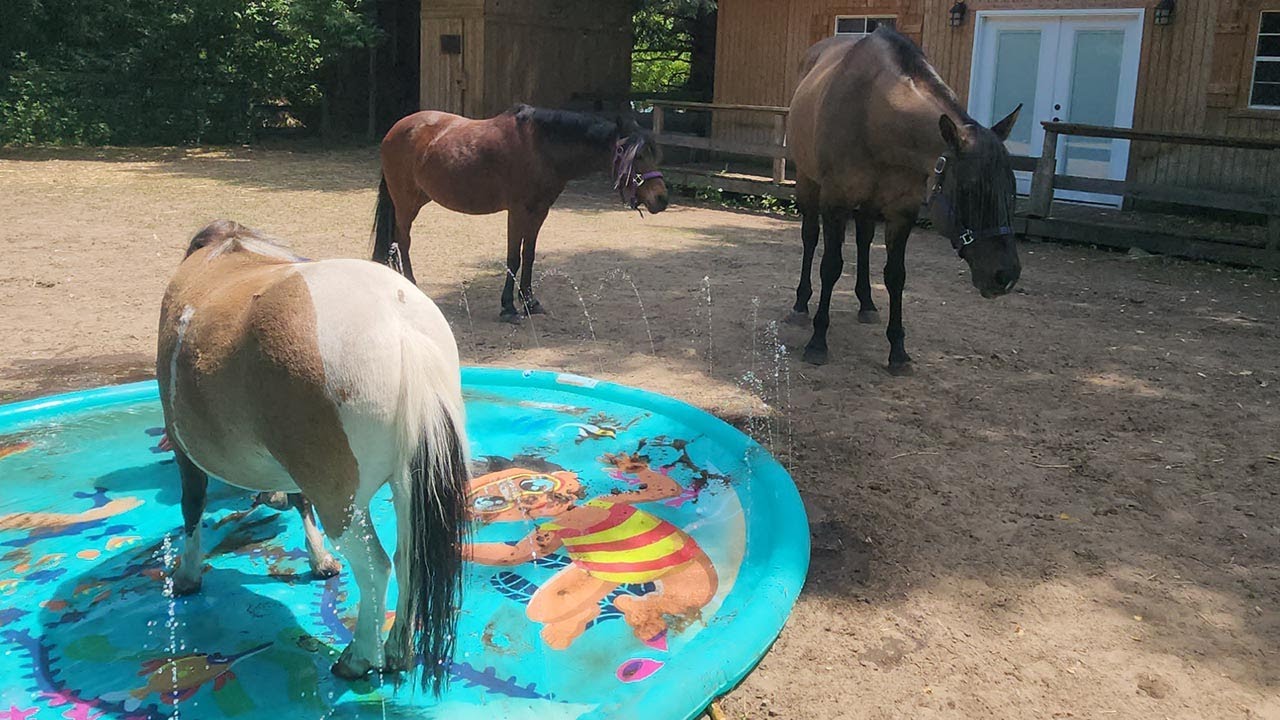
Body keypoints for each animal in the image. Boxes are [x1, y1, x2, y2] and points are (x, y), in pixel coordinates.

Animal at [156, 220, 471, 691]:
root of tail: (400, 325)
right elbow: (298, 500)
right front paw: (320, 560)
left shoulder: (185, 452)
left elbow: (191, 507)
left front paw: (187, 574)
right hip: (409, 483)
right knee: (409, 559)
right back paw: (397, 651)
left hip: (342, 501)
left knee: (376, 566)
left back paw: (359, 658)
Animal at [372, 104, 669, 321]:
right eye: (637, 156)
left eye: (655, 154)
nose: (662, 199)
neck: (540, 148)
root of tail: (395, 130)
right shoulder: (516, 211)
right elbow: (513, 258)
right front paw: (508, 308)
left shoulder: (539, 211)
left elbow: (529, 256)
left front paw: (529, 302)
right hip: (406, 203)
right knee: (403, 242)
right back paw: (412, 286)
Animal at [787, 27, 1023, 372]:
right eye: (968, 189)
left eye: (1012, 189)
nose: (1005, 276)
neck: (872, 114)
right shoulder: (835, 203)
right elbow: (831, 266)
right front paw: (818, 342)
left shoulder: (902, 212)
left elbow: (896, 276)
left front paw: (897, 351)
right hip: (808, 182)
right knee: (809, 238)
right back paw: (801, 305)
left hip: (870, 204)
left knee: (864, 239)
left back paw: (867, 304)